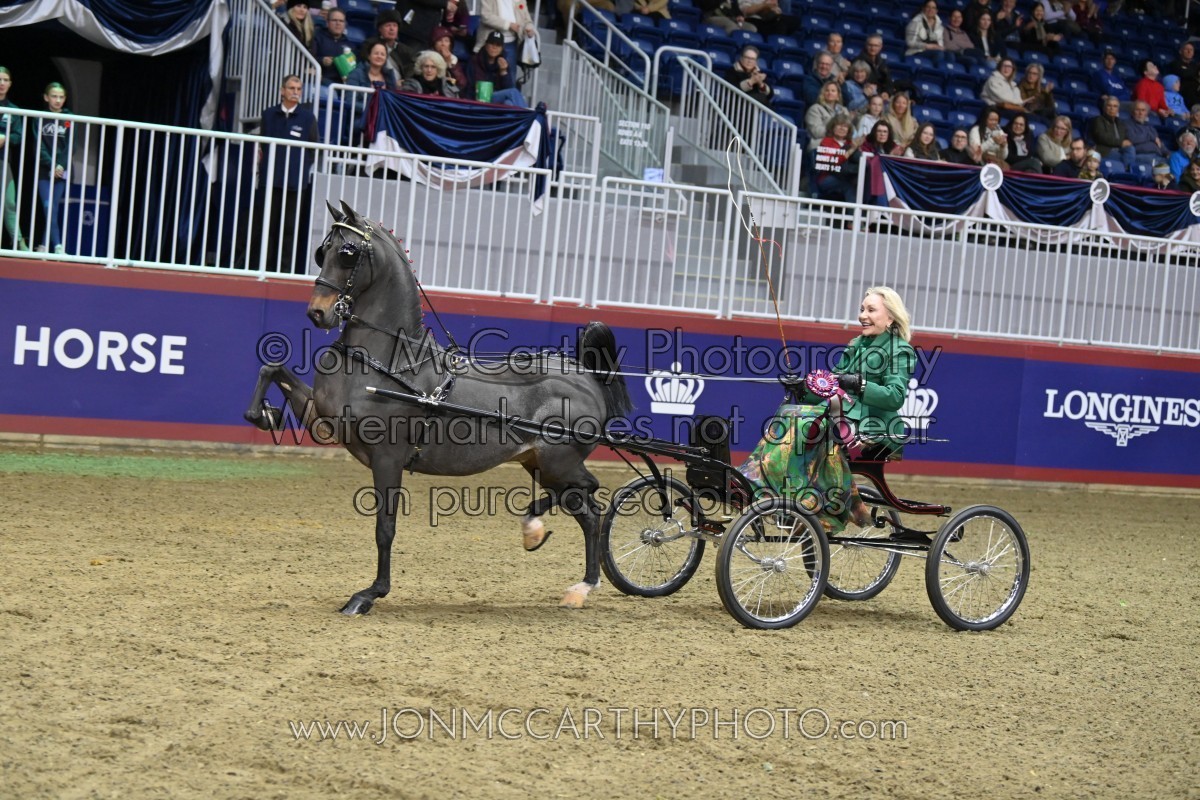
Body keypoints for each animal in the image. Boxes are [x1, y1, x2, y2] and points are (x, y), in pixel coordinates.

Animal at [244, 201, 633, 615]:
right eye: (323, 251)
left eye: (348, 253)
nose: (317, 313)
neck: (390, 363)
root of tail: (587, 376)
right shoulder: (323, 421)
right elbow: (272, 368)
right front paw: (264, 415)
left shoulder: (387, 457)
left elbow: (385, 528)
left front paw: (369, 594)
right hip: (540, 464)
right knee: (588, 513)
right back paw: (577, 583)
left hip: (558, 461)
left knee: (592, 494)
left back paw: (545, 541)